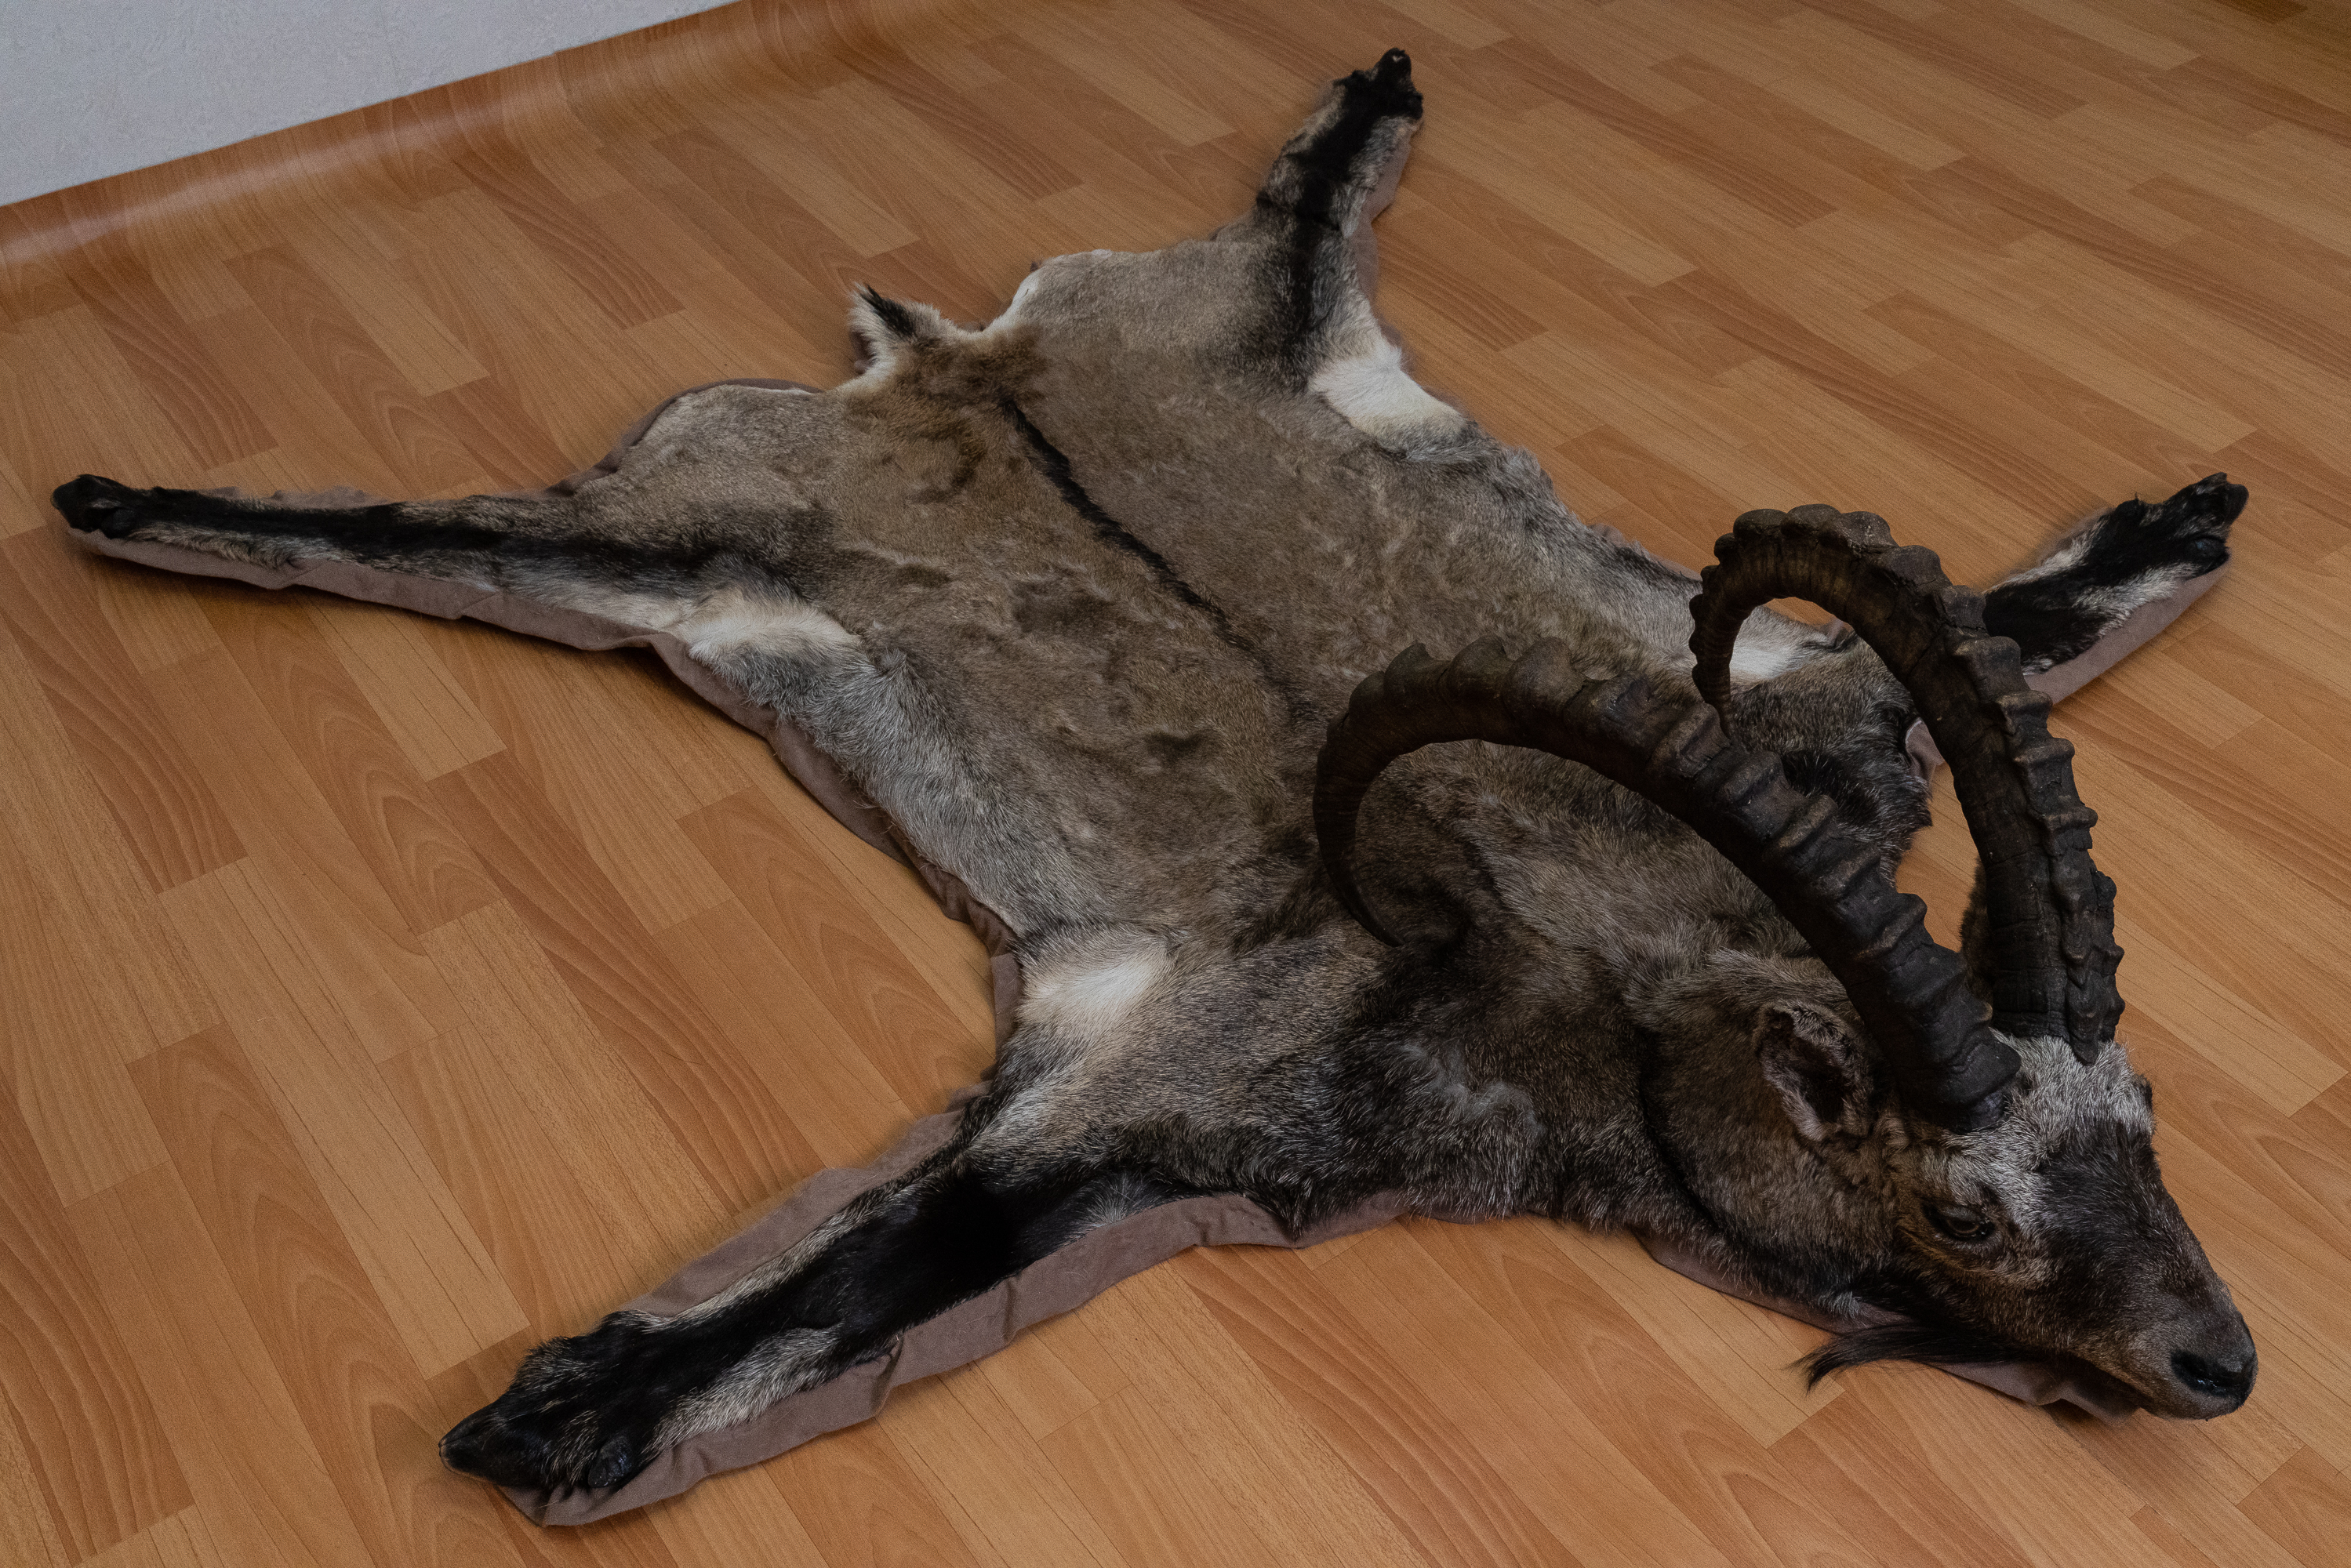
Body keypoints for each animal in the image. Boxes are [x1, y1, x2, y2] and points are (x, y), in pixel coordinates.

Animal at [52, 50, 2254, 1505]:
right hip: (689, 531)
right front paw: (558, 1413)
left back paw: (1372, 92)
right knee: (449, 535)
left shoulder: (1826, 746)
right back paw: (122, 503)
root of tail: (940, 357)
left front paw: (2180, 516)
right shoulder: (1227, 1077)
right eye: (1959, 1209)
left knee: (1289, 248)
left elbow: (2014, 625)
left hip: (1192, 340)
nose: (2220, 1358)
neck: (1633, 957)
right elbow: (927, 1243)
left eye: (2145, 1109)